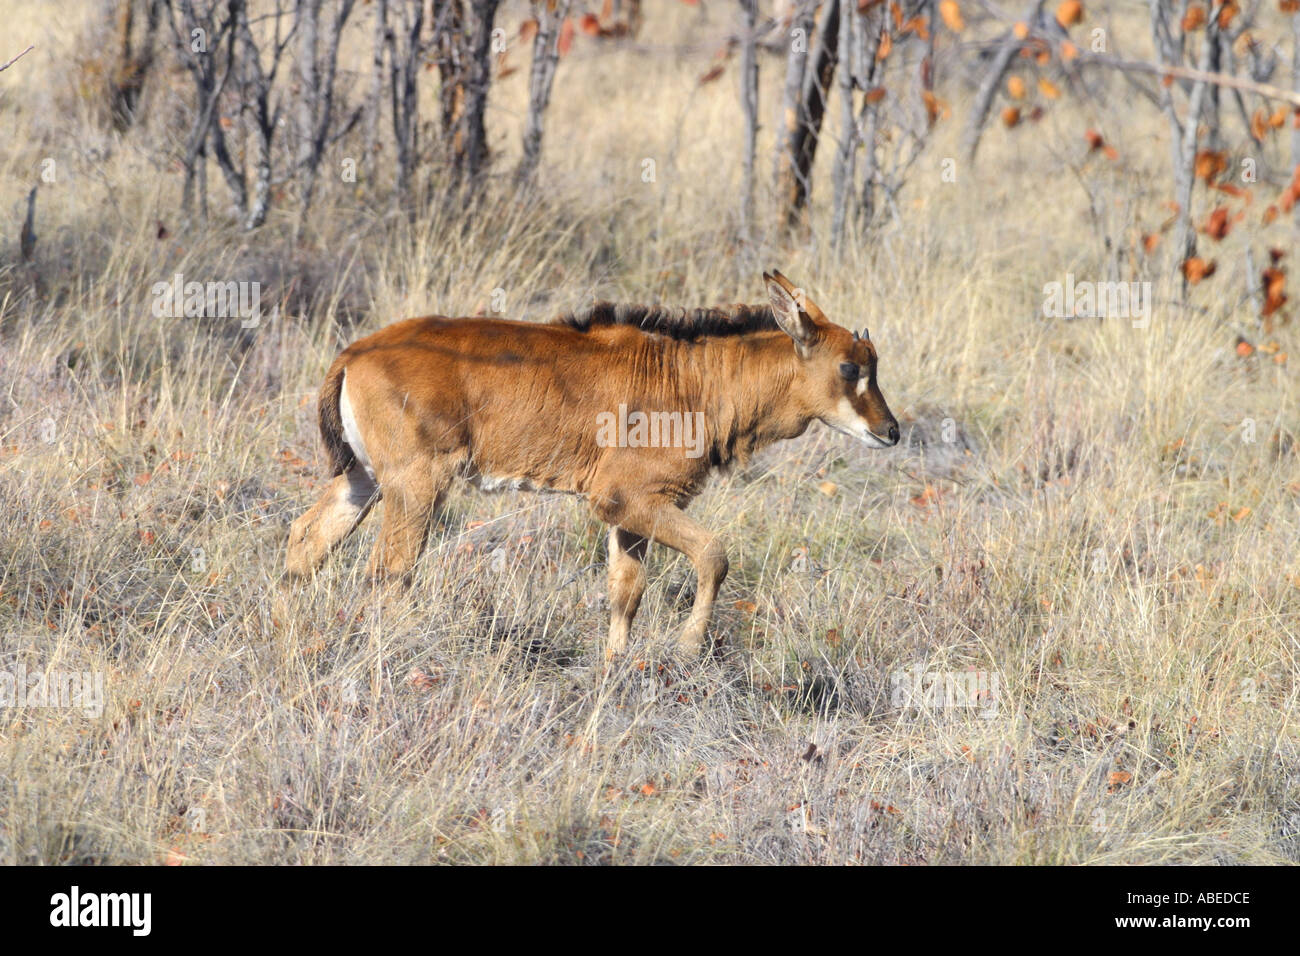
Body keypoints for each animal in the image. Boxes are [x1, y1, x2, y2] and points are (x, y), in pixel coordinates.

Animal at [286, 271, 900, 656]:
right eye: (850, 367)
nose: (891, 431)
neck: (697, 379)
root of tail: (353, 353)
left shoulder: (629, 515)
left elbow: (625, 594)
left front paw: (615, 669)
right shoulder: (628, 499)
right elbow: (714, 555)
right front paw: (686, 647)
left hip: (364, 479)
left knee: (307, 536)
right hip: (417, 485)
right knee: (388, 569)